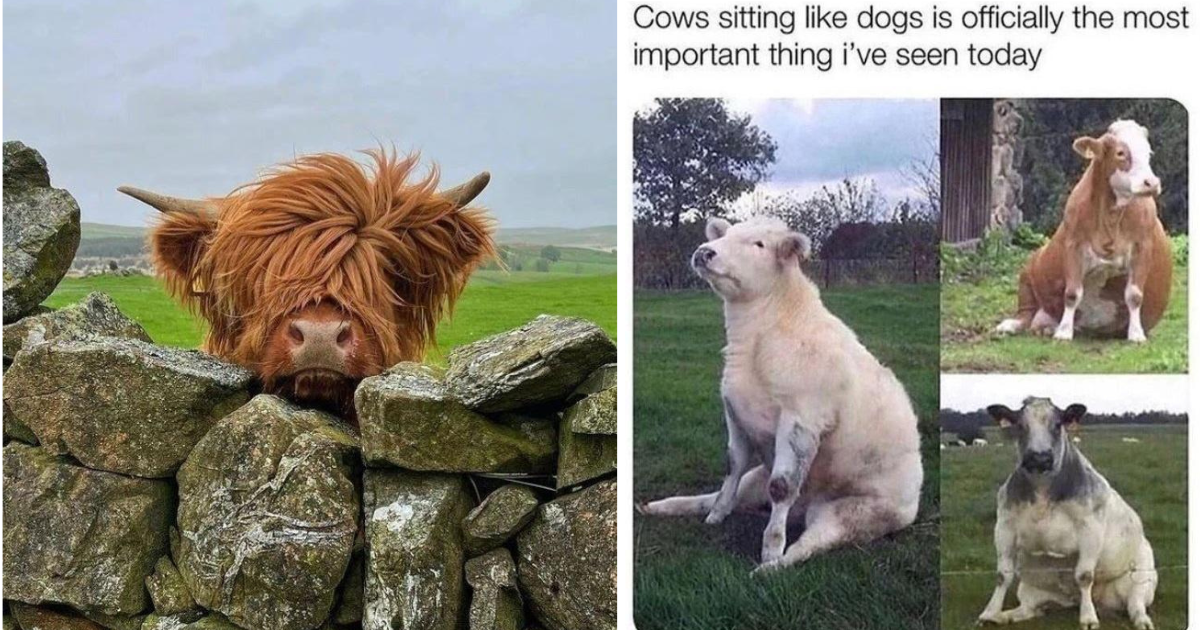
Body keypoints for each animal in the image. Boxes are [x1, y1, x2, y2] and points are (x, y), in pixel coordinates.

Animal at [637, 217, 923, 574]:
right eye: (726, 235)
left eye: (759, 244)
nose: (705, 252)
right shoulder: (734, 411)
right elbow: (732, 465)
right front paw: (717, 515)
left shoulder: (801, 419)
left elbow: (783, 487)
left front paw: (771, 549)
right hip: (758, 480)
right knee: (725, 493)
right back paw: (662, 506)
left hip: (855, 513)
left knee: (812, 542)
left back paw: (771, 569)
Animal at [977, 397, 1156, 630]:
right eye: (1021, 425)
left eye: (1057, 425)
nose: (1039, 458)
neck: (1042, 491)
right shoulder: (1004, 526)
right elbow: (1002, 575)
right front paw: (989, 613)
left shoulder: (1090, 529)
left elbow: (1084, 576)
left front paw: (1088, 618)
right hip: (1030, 589)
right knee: (1028, 609)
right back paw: (1003, 616)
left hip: (1142, 578)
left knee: (1135, 605)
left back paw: (1142, 621)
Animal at [995, 120, 1172, 343]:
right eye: (1121, 153)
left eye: (1149, 153)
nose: (1151, 183)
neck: (1110, 219)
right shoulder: (1073, 245)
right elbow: (1072, 293)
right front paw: (1064, 332)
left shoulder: (1143, 248)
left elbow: (1135, 295)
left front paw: (1136, 334)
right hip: (1029, 270)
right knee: (1026, 312)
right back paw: (1012, 325)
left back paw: (1047, 328)